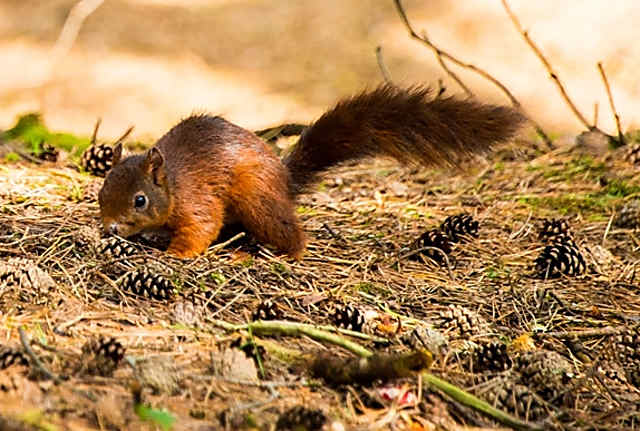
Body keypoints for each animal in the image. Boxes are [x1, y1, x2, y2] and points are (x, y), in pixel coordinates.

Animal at [98, 84, 525, 259]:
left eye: (140, 200)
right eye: (101, 194)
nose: (110, 228)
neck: (172, 183)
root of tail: (284, 181)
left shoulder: (198, 201)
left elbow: (201, 228)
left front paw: (177, 254)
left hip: (257, 200)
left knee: (290, 232)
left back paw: (281, 255)